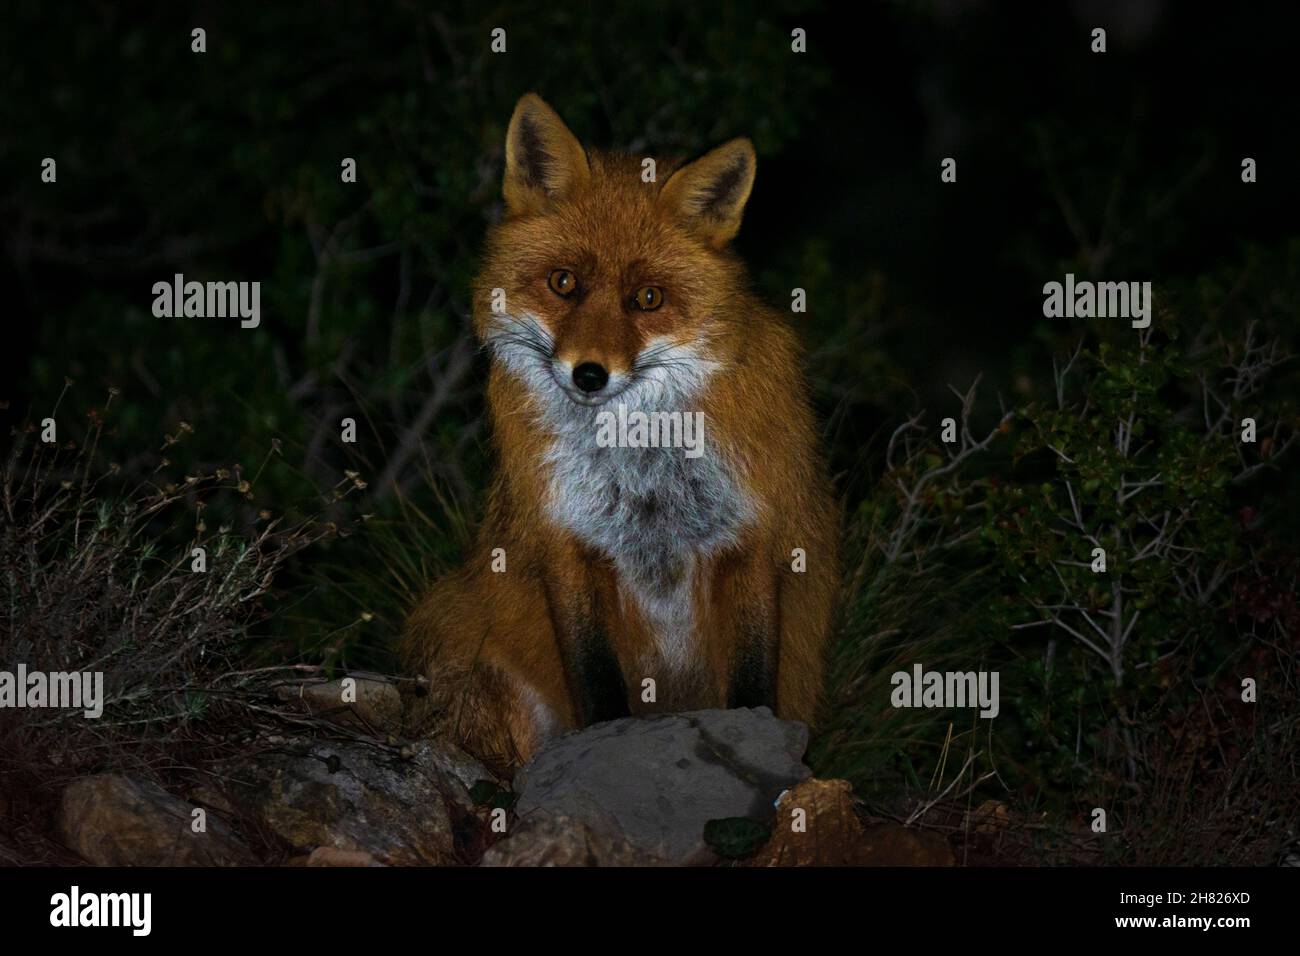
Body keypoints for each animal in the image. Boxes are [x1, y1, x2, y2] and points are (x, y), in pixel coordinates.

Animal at [401, 93, 840, 775]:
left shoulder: (752, 538)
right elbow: (596, 680)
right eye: (563, 283)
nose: (588, 374)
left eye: (648, 299)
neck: (643, 466)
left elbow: (752, 682)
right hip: (456, 623)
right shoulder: (565, 541)